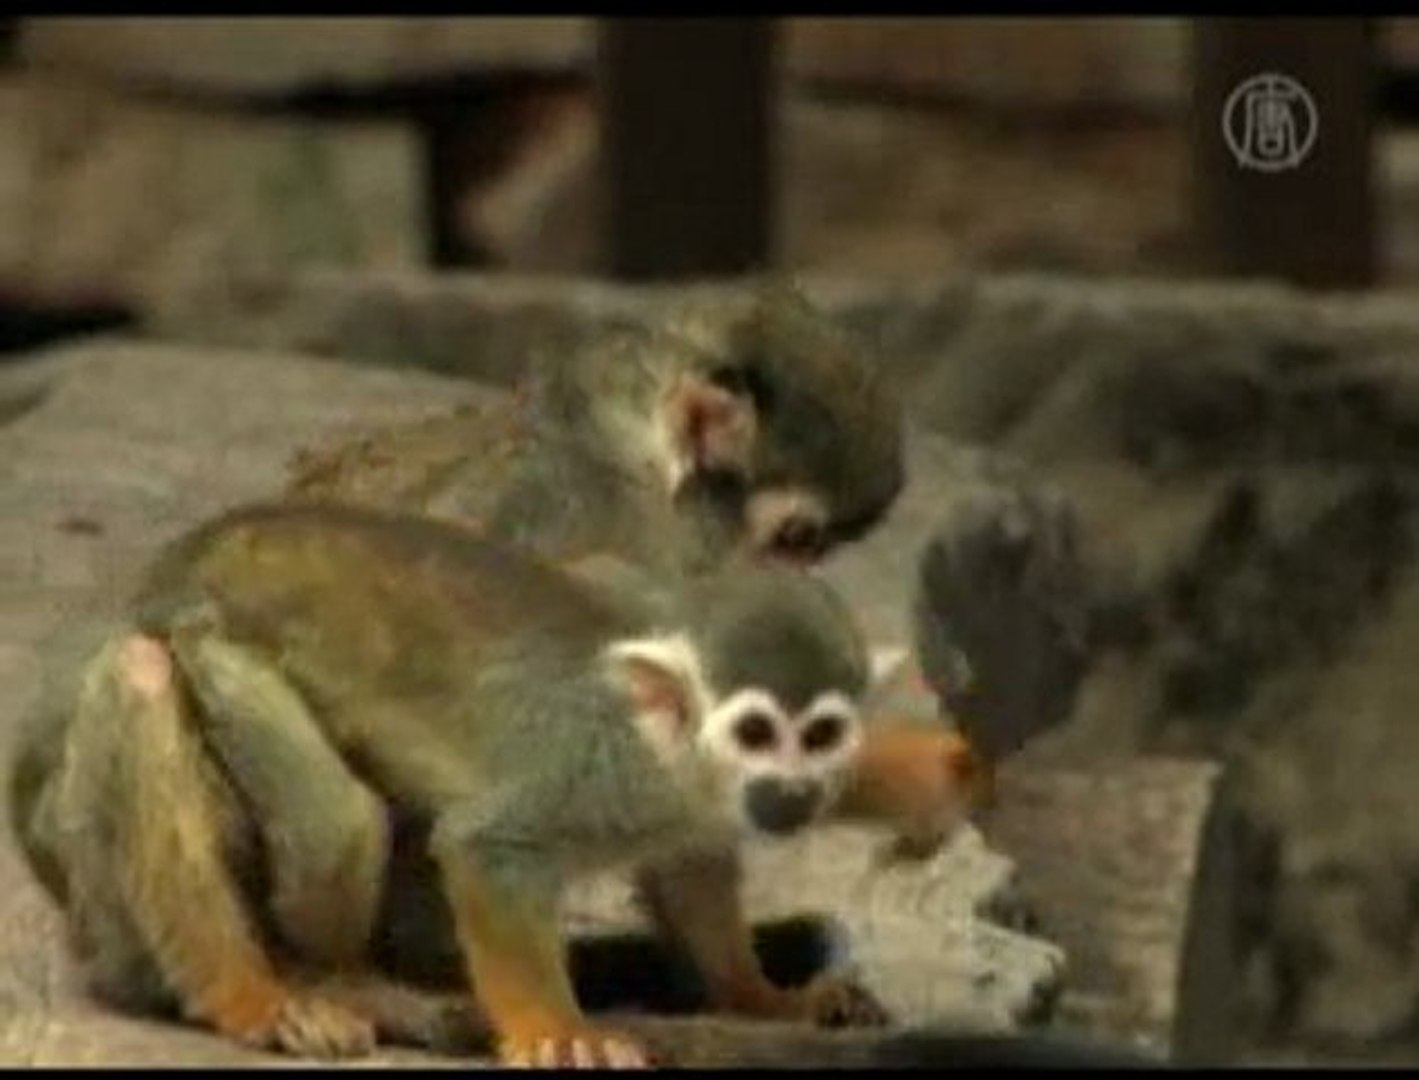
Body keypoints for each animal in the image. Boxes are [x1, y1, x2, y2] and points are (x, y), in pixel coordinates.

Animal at [11, 502, 976, 1068]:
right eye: (755, 733)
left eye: (821, 736)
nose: (793, 793)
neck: (677, 757)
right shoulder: (594, 765)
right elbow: (486, 846)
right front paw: (556, 1031)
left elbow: (692, 869)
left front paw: (759, 997)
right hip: (114, 856)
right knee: (256, 760)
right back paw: (275, 993)